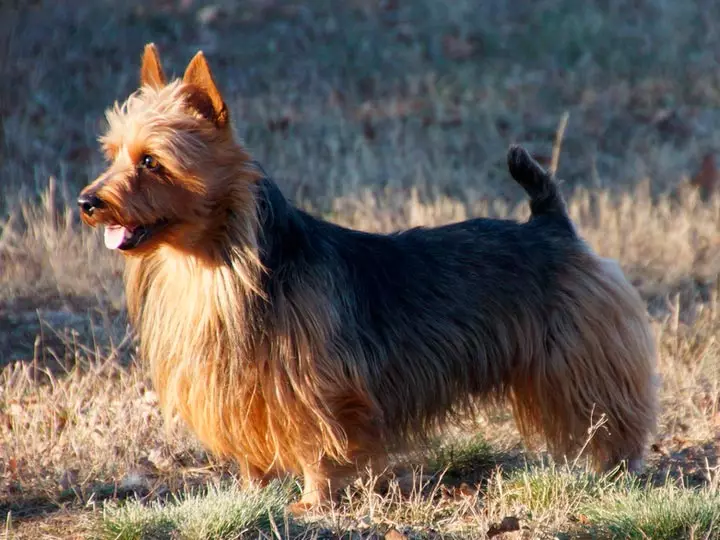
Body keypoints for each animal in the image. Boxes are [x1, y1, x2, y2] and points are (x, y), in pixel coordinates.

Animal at [77, 44, 660, 512]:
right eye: (112, 155)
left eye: (151, 161)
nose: (87, 202)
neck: (216, 263)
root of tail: (550, 224)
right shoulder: (238, 386)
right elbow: (253, 453)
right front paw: (248, 496)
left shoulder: (316, 390)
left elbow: (318, 446)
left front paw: (312, 504)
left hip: (580, 359)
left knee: (616, 418)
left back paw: (619, 474)